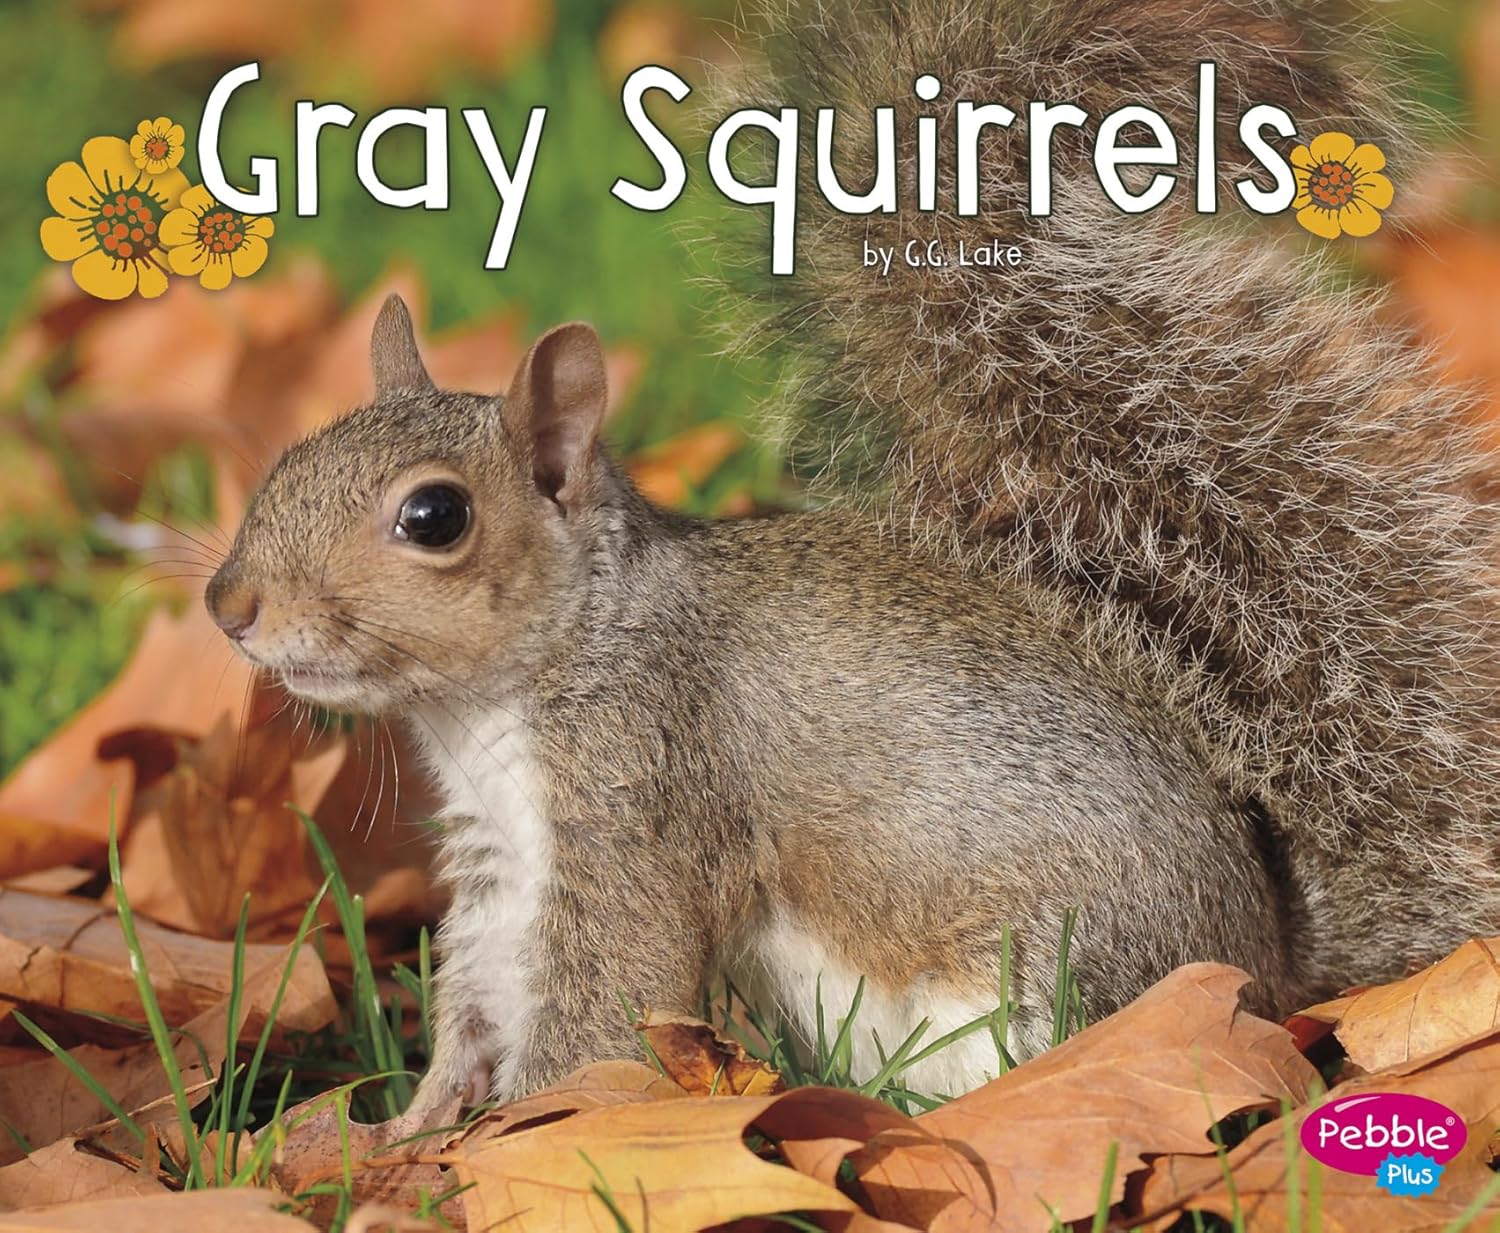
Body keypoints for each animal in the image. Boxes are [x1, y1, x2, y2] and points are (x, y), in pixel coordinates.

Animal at [206, 0, 1500, 1113]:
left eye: (434, 517)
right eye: (290, 455)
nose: (230, 607)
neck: (527, 678)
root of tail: (1274, 977)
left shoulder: (644, 793)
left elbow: (604, 1003)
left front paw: (494, 1151)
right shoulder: (498, 866)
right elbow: (478, 1005)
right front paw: (413, 1131)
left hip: (1045, 985)